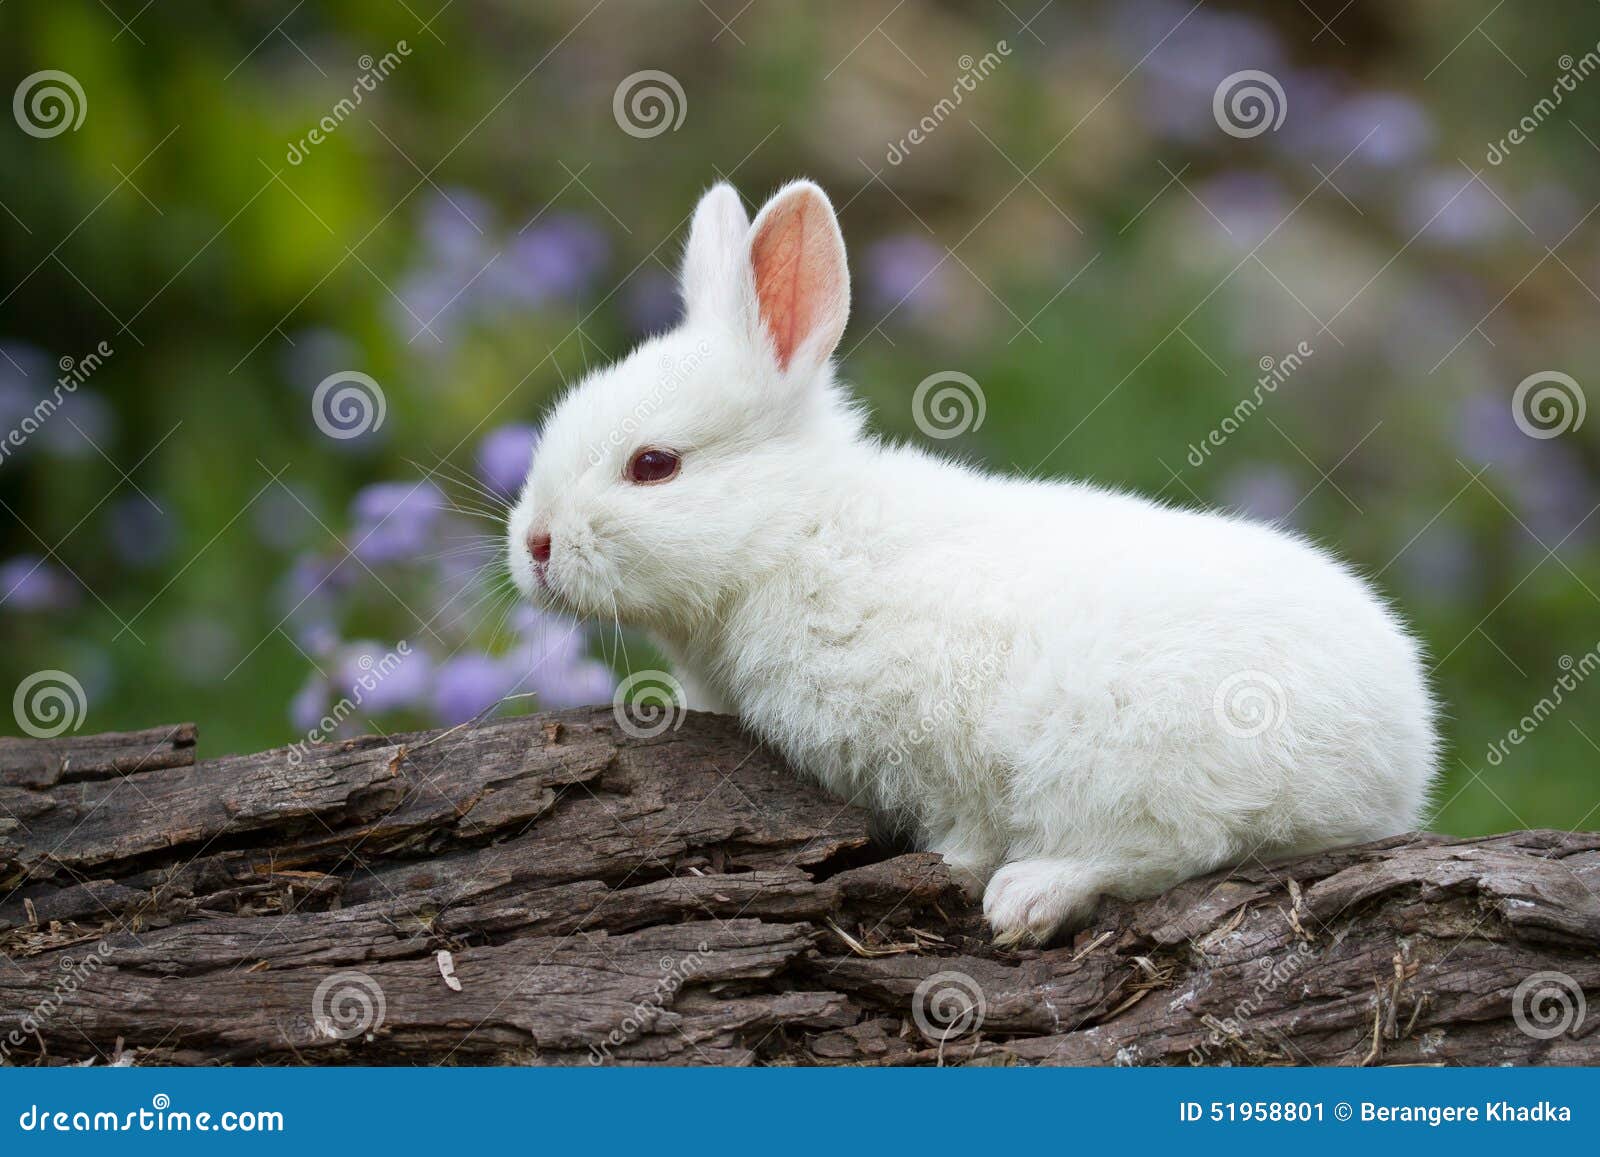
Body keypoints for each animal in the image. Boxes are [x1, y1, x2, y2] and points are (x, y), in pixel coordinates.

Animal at [506, 179, 1440, 946]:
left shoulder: (942, 743)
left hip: (1134, 756)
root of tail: (1401, 750)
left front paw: (951, 868)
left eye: (654, 465)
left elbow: (973, 822)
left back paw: (1029, 897)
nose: (535, 545)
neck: (797, 534)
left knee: (1177, 842)